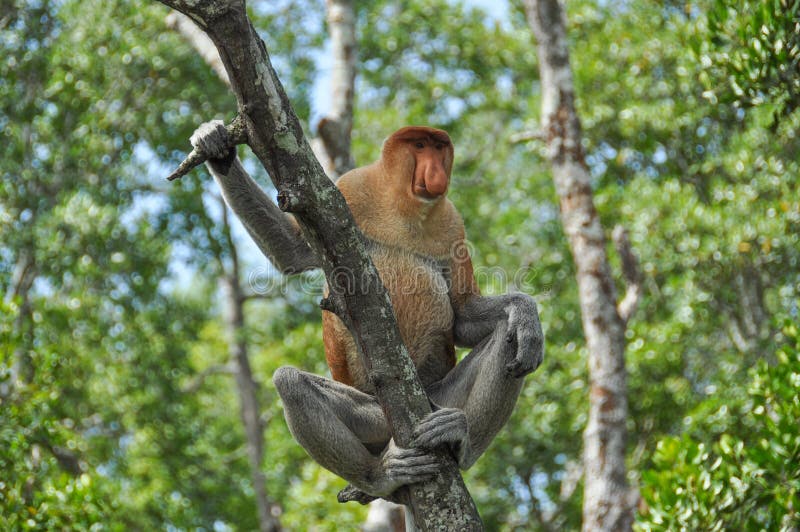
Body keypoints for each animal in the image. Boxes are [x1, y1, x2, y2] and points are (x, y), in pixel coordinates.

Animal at [190, 121, 544, 499]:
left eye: (439, 147)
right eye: (419, 146)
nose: (435, 170)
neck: (408, 209)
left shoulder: (452, 224)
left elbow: (463, 316)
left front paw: (526, 315)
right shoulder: (348, 188)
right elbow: (293, 250)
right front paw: (215, 146)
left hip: (437, 399)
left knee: (507, 339)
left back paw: (461, 438)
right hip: (372, 415)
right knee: (290, 381)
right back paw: (378, 476)